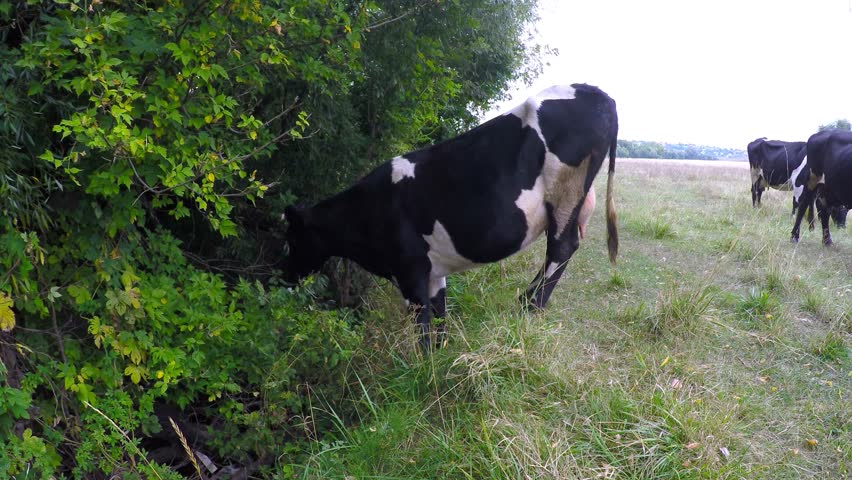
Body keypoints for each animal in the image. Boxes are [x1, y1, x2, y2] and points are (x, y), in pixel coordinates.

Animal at [284, 84, 619, 352]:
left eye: (292, 240)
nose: (286, 277)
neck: (369, 209)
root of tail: (596, 92)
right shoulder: (434, 271)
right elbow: (440, 317)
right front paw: (441, 356)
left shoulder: (410, 270)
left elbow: (421, 325)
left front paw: (421, 365)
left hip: (566, 193)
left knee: (561, 247)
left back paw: (529, 305)